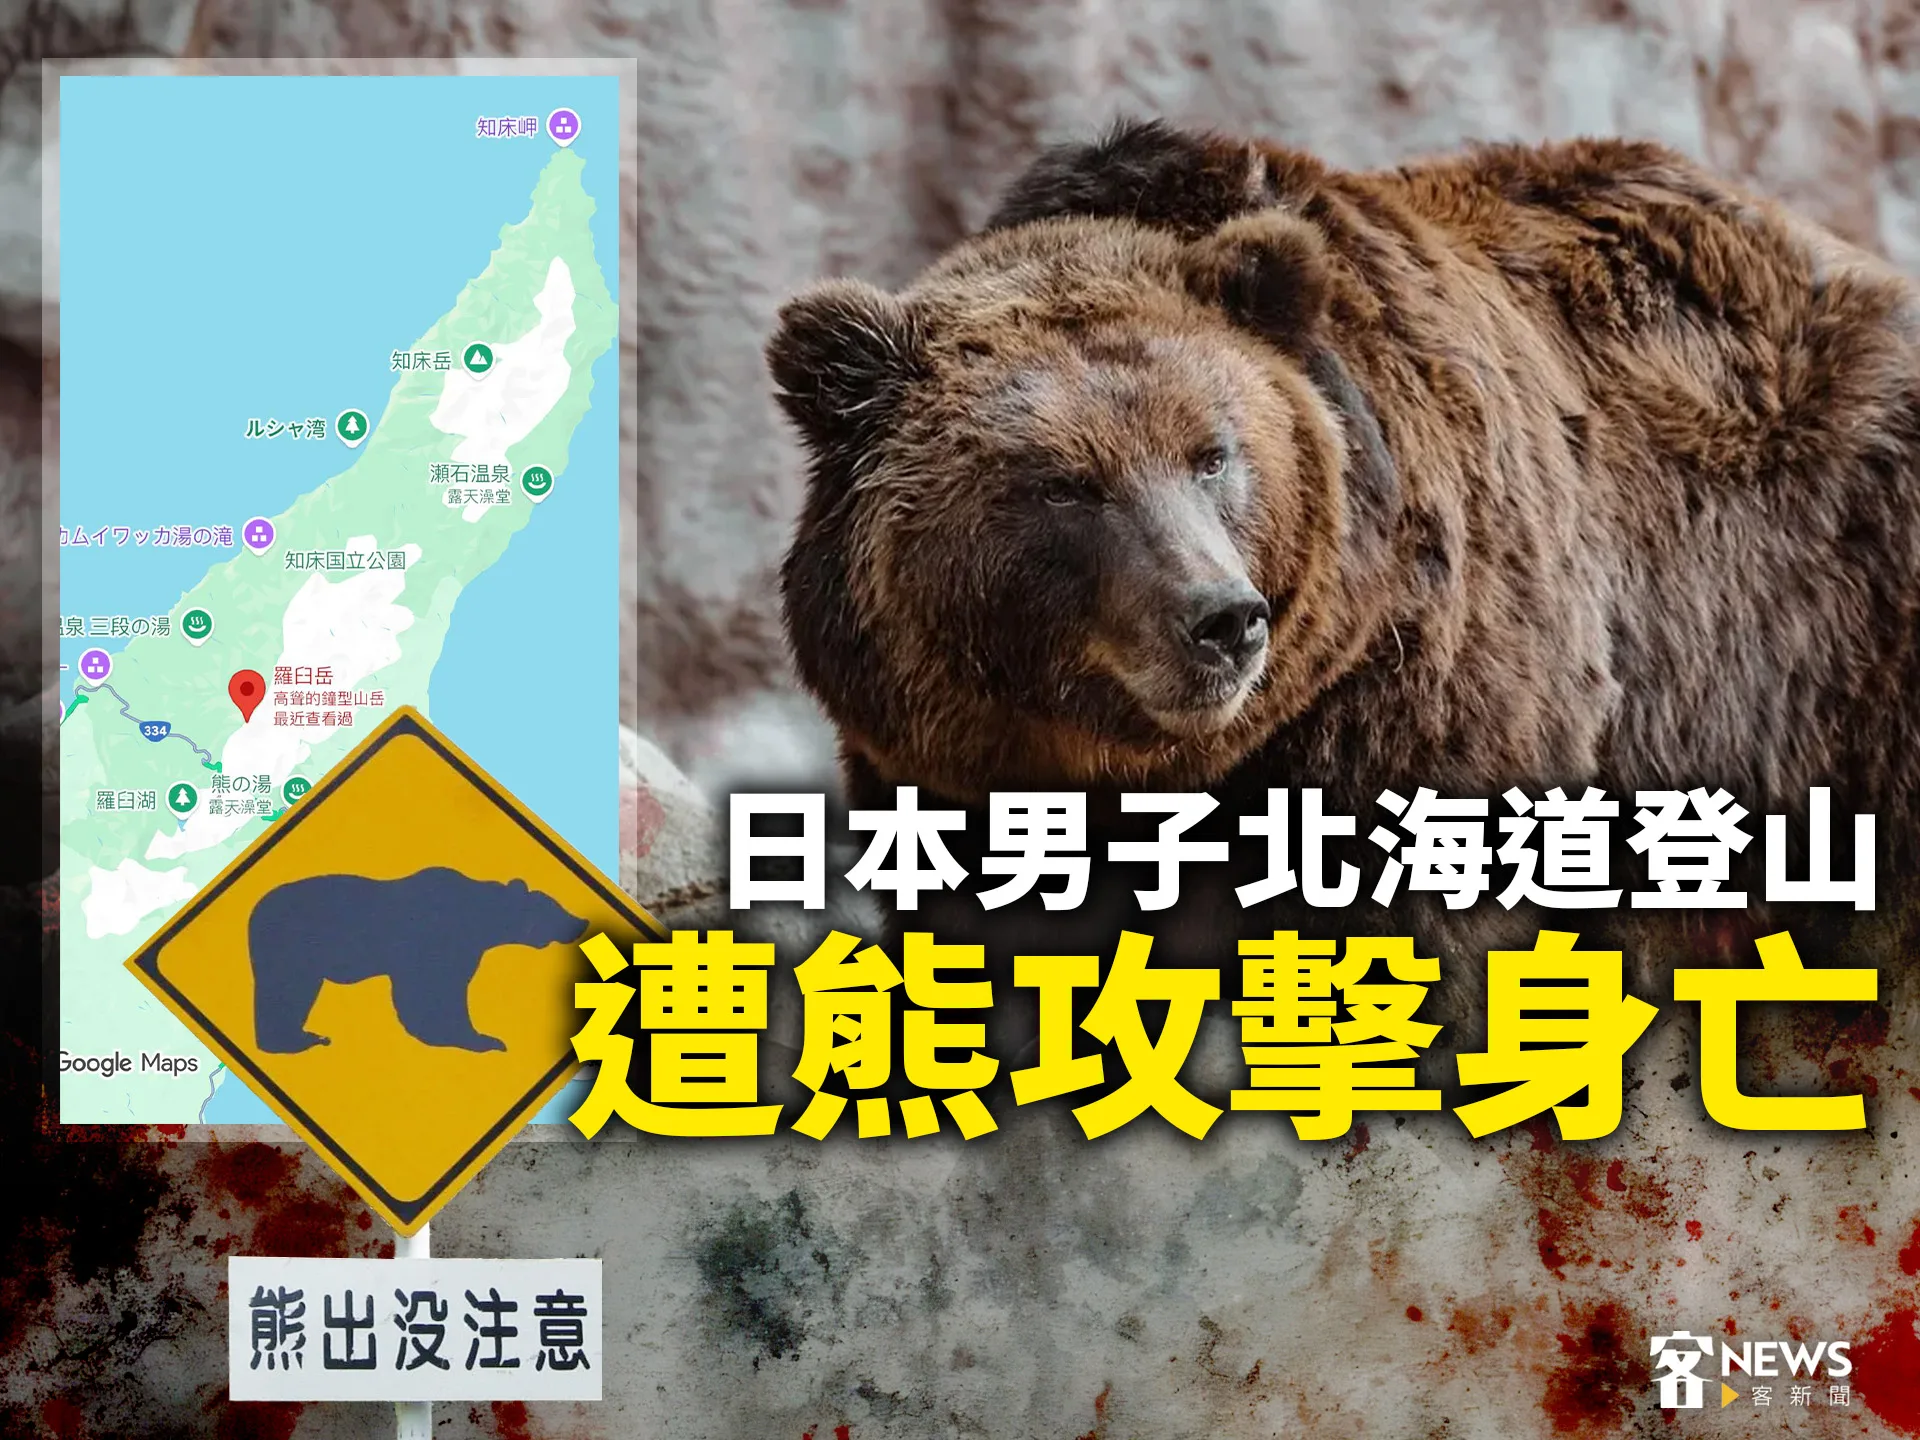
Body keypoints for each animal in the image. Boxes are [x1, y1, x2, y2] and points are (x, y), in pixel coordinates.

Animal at [247, 868, 590, 1054]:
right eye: (553, 906)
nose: (581, 921)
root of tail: (254, 911)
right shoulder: (433, 941)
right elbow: (432, 990)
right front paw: (482, 1039)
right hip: (291, 947)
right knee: (287, 988)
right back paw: (300, 1040)